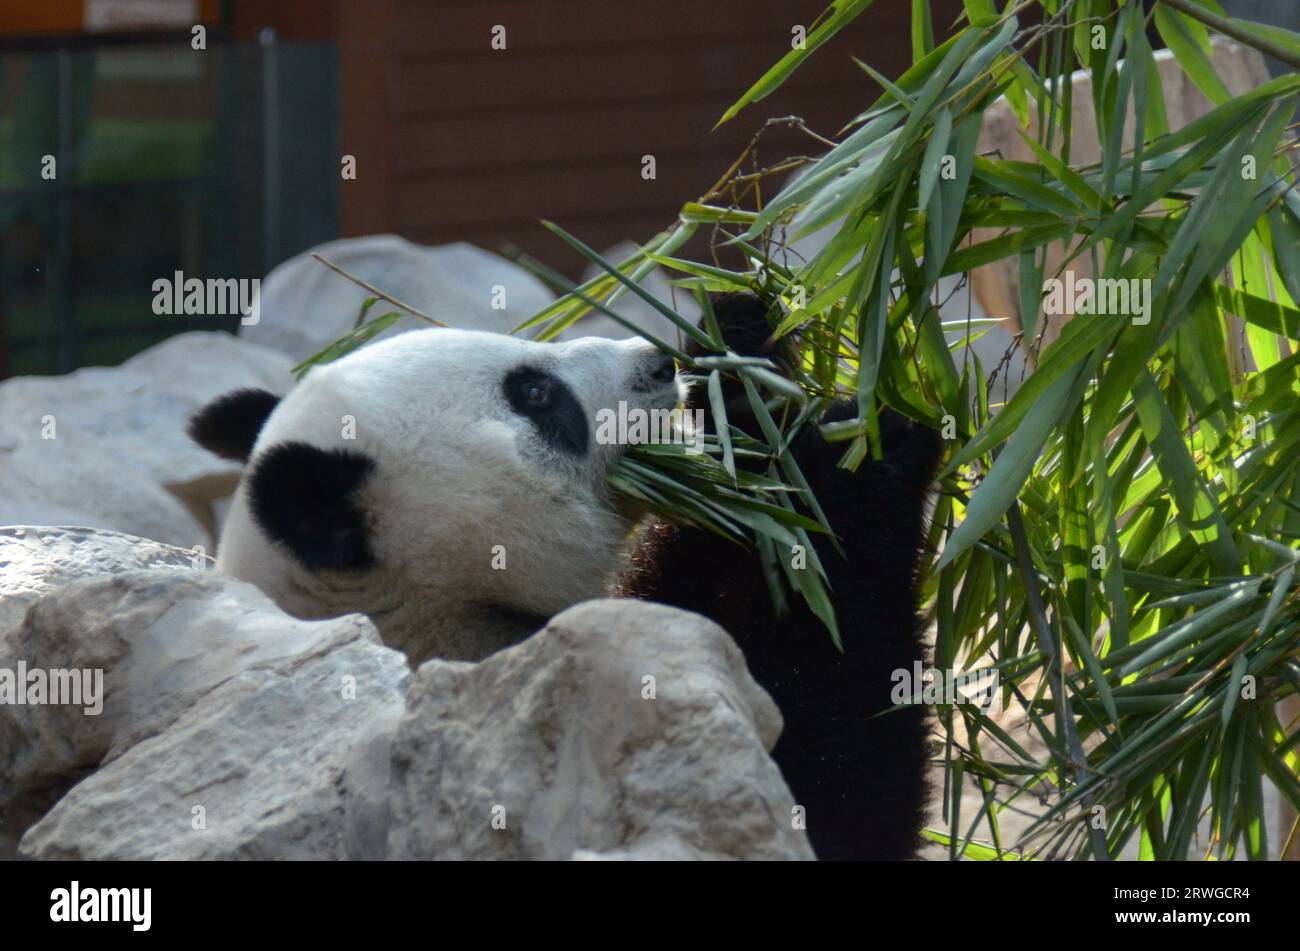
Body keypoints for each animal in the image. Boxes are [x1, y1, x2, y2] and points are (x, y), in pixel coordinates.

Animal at [189, 292, 943, 860]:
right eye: (534, 392)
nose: (658, 364)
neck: (426, 608)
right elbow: (818, 783)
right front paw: (855, 456)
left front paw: (742, 355)